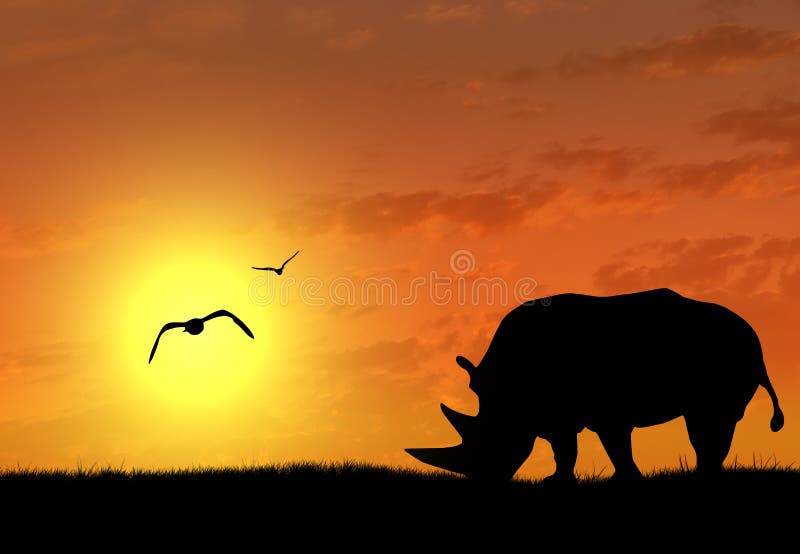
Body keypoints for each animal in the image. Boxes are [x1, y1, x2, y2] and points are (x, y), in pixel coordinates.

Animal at [406, 288, 784, 482]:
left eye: (491, 442)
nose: (485, 481)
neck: (506, 392)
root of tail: (754, 336)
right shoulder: (556, 413)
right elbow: (565, 449)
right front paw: (560, 481)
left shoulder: (602, 410)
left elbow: (611, 446)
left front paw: (624, 481)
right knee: (706, 421)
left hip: (731, 352)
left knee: (711, 419)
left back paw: (702, 477)